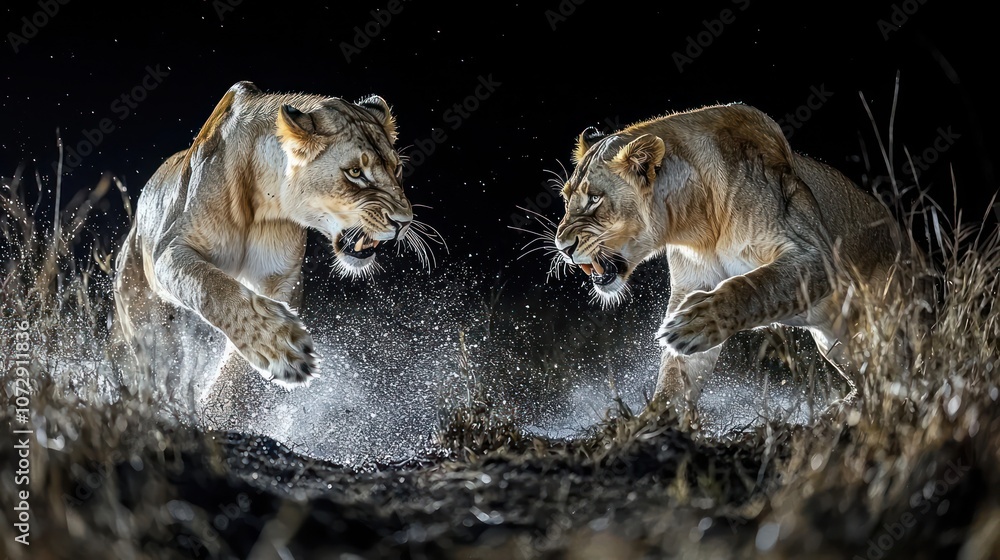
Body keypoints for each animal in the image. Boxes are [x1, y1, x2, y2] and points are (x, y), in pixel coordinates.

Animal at [113, 81, 424, 409]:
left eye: (397, 169)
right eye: (354, 172)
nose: (404, 221)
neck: (265, 201)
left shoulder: (280, 277)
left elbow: (238, 372)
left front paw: (226, 404)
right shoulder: (170, 248)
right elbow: (210, 285)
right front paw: (275, 344)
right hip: (147, 323)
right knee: (159, 368)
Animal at [551, 103, 924, 411]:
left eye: (594, 199)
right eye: (566, 198)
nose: (562, 246)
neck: (696, 225)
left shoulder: (815, 254)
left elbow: (754, 286)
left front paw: (698, 322)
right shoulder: (693, 284)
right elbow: (677, 375)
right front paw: (652, 425)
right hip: (836, 345)